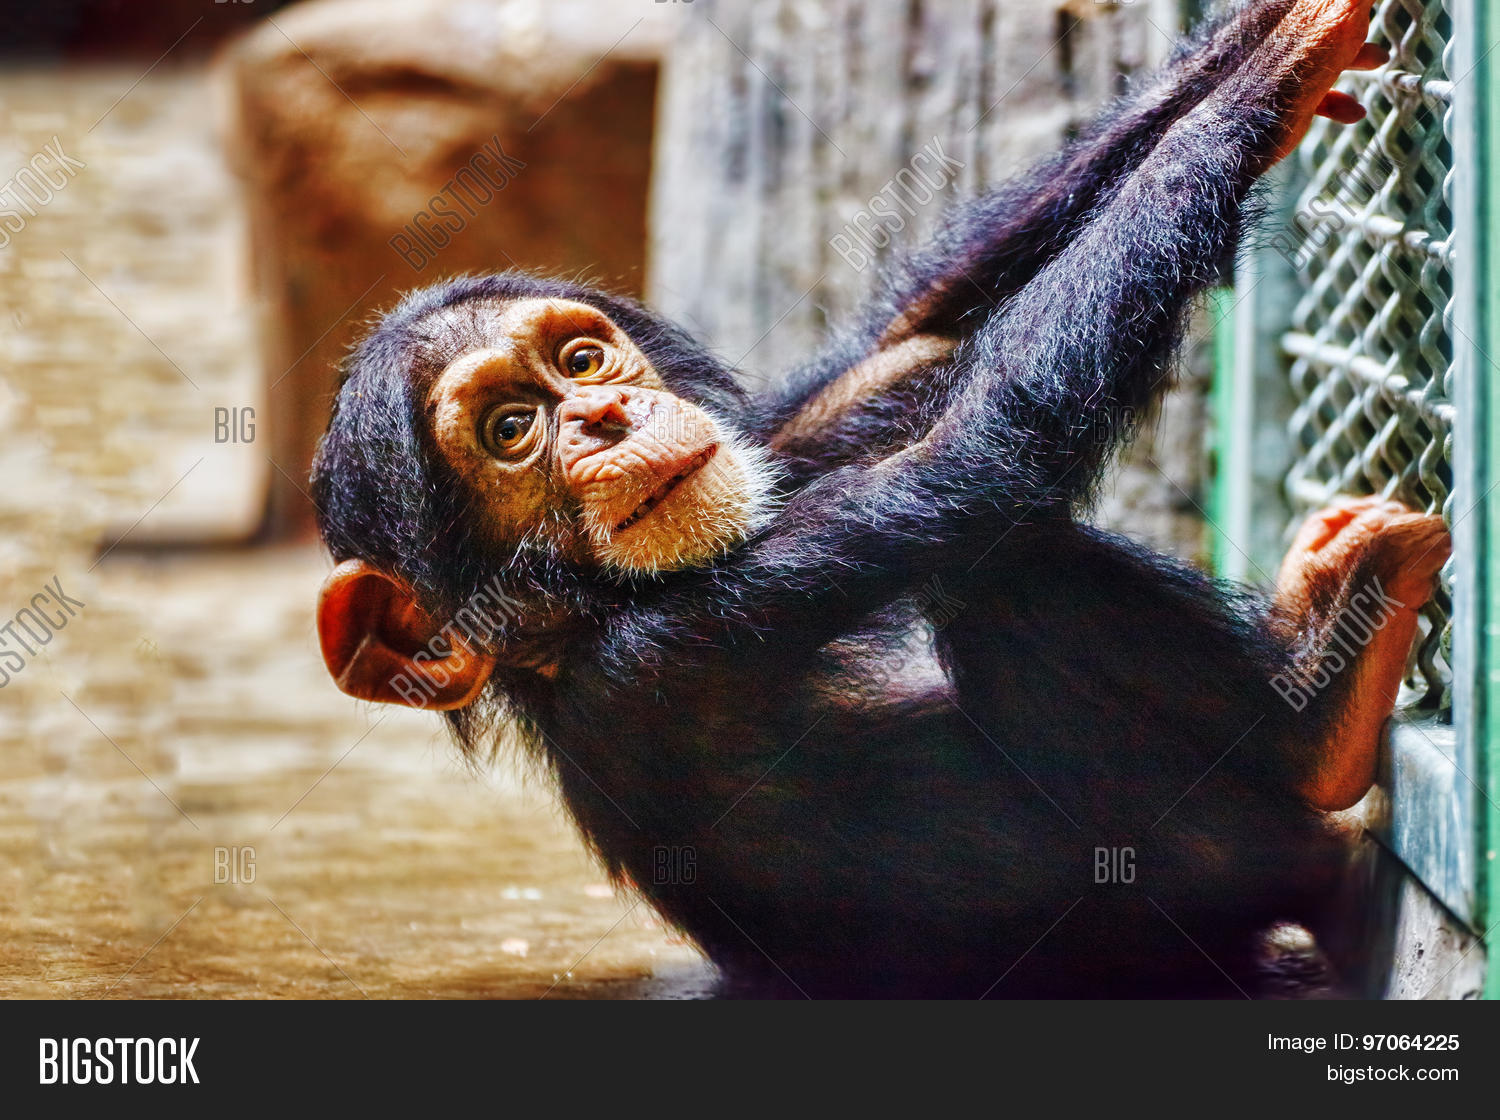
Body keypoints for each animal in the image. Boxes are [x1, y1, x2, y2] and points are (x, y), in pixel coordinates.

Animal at [311, 0, 1451, 996]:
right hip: (1208, 886)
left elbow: (920, 340)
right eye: (510, 431)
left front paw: (1248, 51)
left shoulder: (781, 450)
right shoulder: (674, 652)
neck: (591, 610)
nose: (606, 416)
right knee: (1002, 570)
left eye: (582, 360)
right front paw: (1261, 90)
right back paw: (1323, 715)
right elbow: (973, 448)